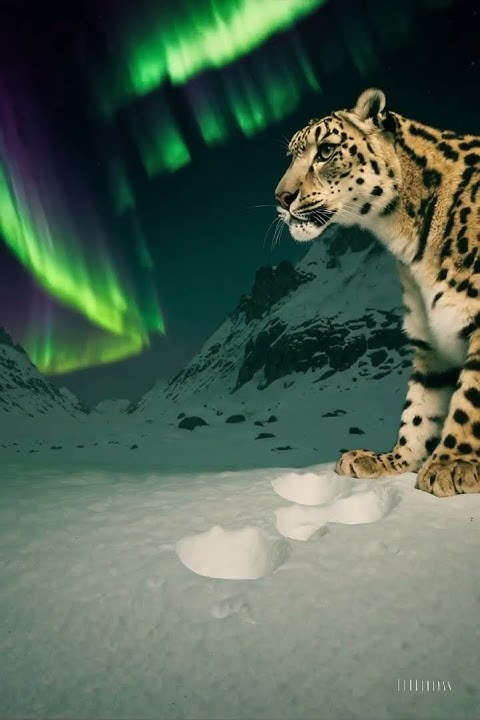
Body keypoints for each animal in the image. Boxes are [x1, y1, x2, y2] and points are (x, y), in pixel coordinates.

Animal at [274, 88, 480, 498]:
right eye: (291, 155)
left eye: (326, 151)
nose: (281, 197)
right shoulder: (429, 339)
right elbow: (419, 409)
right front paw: (392, 460)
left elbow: (469, 398)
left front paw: (452, 464)